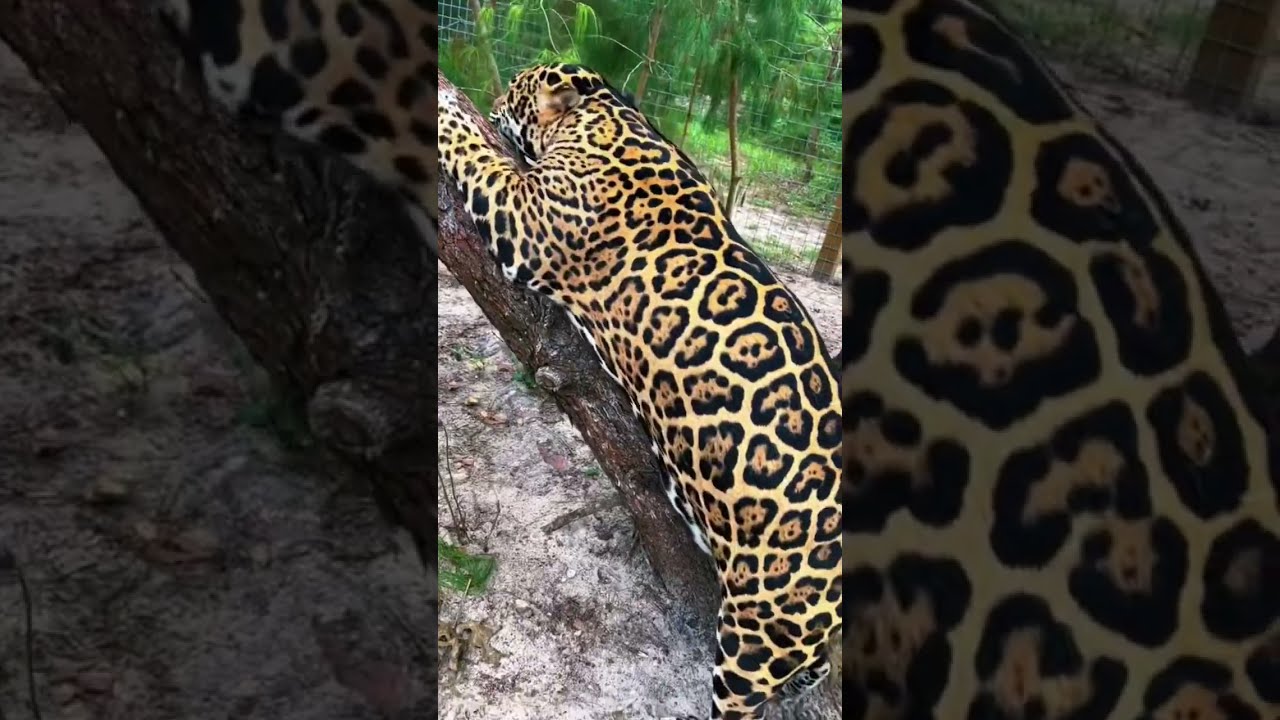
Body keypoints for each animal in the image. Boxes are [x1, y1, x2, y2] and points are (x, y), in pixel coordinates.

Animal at [157, 1, 843, 719]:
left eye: (512, 90)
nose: (487, 96)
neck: (610, 113)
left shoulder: (523, 217)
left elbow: (479, 156)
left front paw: (447, 112)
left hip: (754, 639)